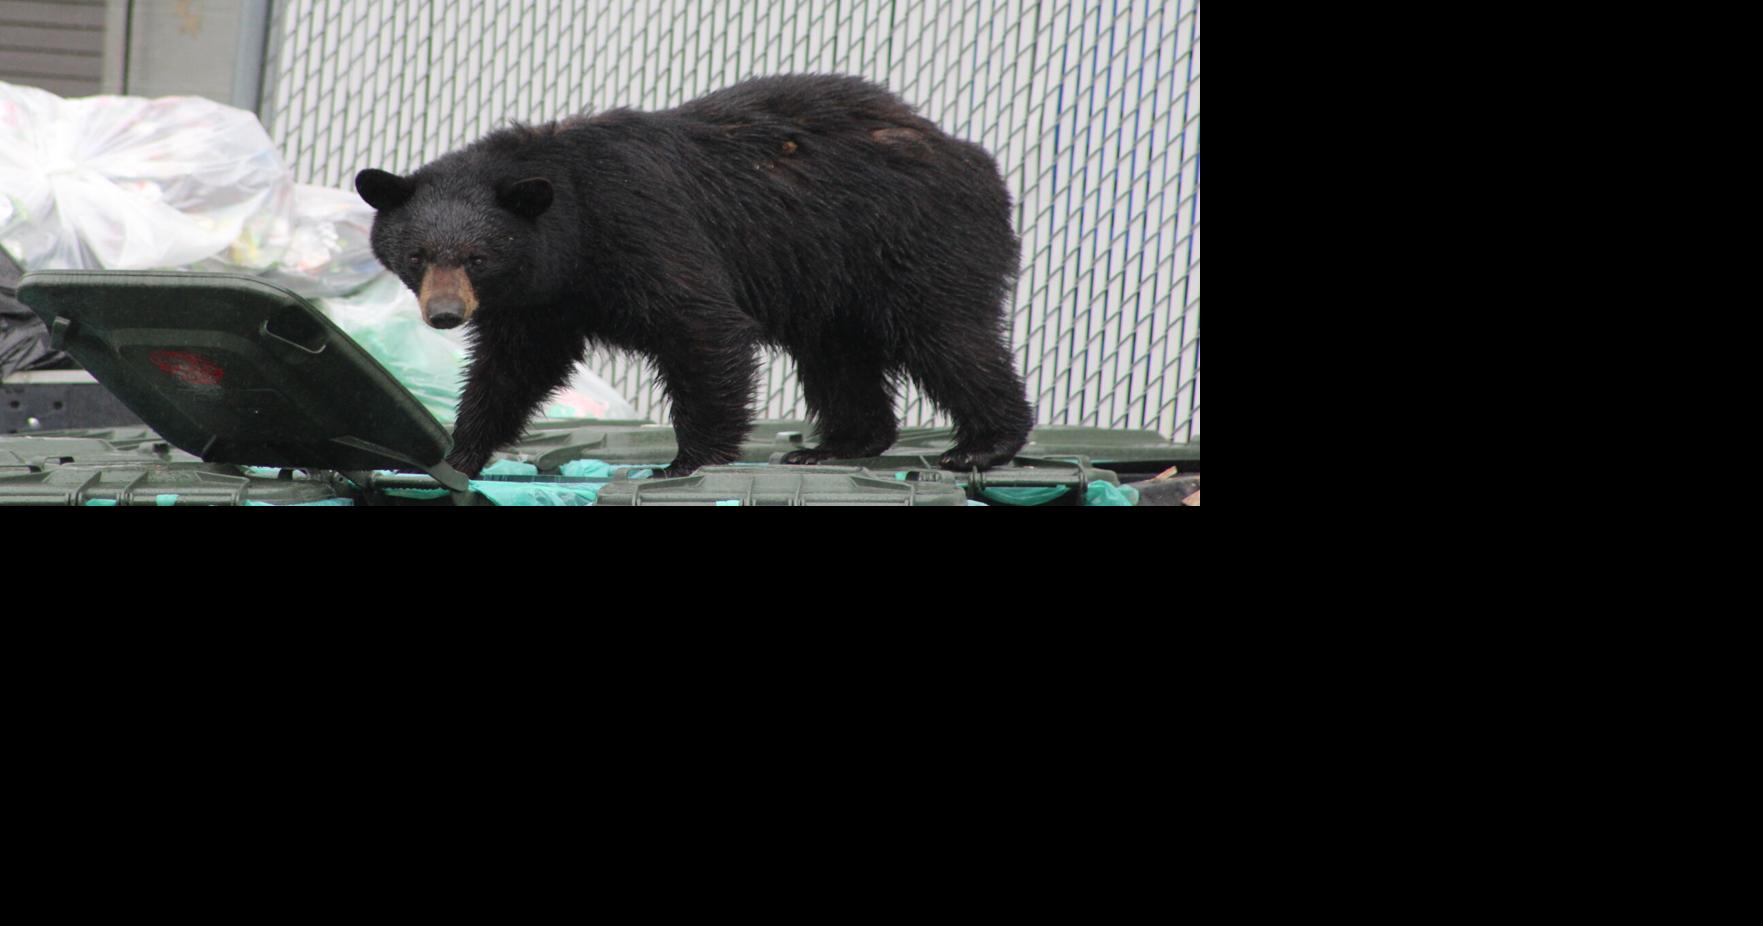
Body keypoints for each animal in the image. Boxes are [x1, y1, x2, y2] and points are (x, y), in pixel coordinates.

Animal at [356, 74, 1034, 478]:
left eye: (477, 257)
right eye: (418, 255)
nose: (445, 316)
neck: (571, 230)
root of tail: (971, 155)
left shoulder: (639, 228)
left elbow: (701, 326)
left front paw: (687, 462)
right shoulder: (541, 302)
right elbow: (510, 370)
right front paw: (457, 453)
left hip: (910, 239)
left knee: (946, 336)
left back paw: (983, 443)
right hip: (827, 280)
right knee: (837, 356)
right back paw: (833, 445)